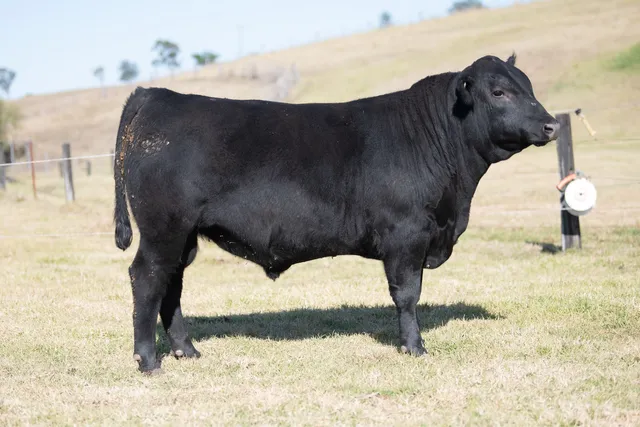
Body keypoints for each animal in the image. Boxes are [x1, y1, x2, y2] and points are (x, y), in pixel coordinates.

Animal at [114, 53, 559, 373]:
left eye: (529, 86)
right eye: (499, 92)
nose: (552, 125)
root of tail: (156, 94)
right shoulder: (407, 233)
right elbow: (407, 294)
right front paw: (414, 348)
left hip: (184, 235)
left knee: (171, 285)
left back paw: (187, 351)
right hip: (164, 229)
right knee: (147, 279)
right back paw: (148, 360)